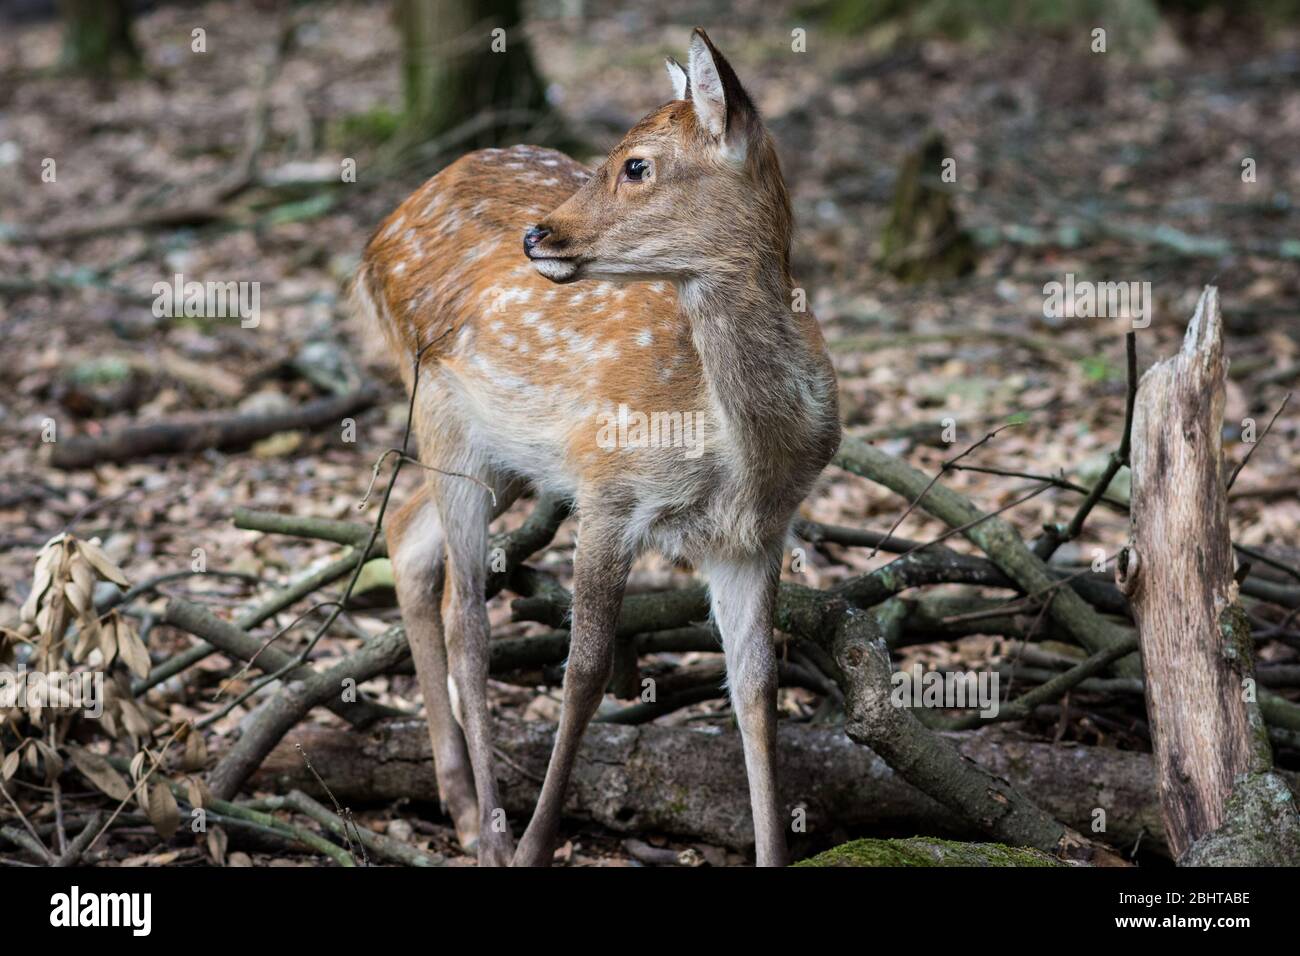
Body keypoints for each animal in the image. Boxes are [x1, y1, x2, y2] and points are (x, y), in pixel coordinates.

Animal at [354, 28, 840, 867]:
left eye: (637, 164)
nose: (537, 234)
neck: (737, 450)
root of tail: (377, 237)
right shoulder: (610, 486)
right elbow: (582, 670)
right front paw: (534, 847)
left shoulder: (754, 535)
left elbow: (757, 690)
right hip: (443, 406)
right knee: (467, 615)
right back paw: (491, 832)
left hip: (512, 455)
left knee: (407, 531)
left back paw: (458, 802)